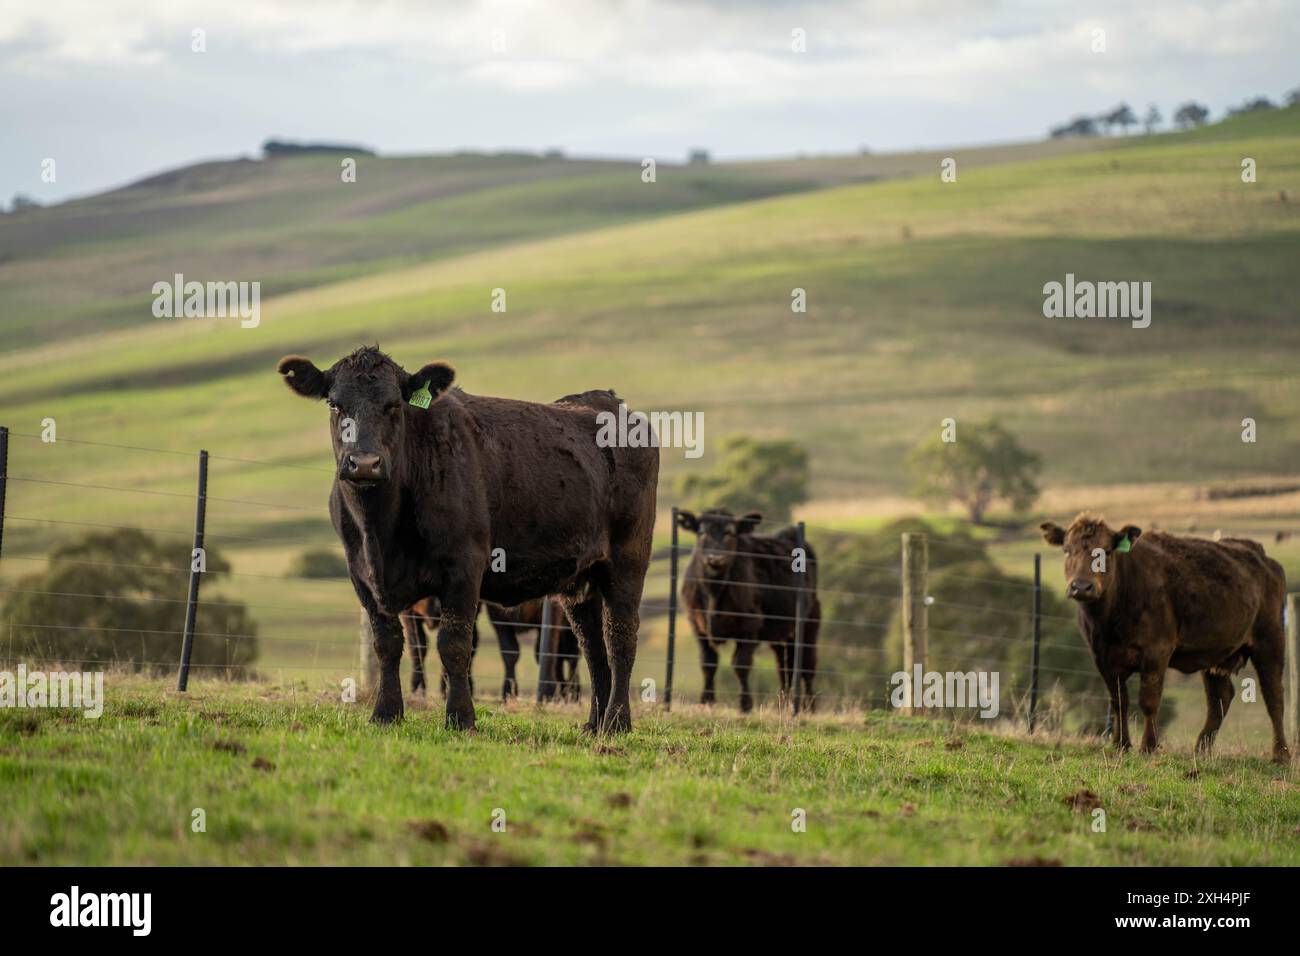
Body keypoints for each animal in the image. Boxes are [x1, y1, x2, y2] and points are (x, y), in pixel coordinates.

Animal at [277, 346, 658, 733]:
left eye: (394, 404)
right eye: (335, 405)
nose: (365, 463)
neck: (380, 531)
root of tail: (608, 401)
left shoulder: (464, 567)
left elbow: (455, 644)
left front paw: (460, 717)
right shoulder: (362, 576)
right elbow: (388, 643)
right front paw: (386, 713)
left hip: (627, 560)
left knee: (620, 638)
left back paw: (617, 721)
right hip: (580, 581)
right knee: (591, 645)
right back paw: (594, 724)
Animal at [676, 508, 820, 712]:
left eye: (730, 533)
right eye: (701, 532)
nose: (715, 558)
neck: (713, 593)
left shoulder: (750, 624)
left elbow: (741, 664)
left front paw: (745, 704)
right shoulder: (697, 625)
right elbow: (708, 663)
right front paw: (707, 701)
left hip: (809, 621)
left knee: (807, 665)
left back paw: (809, 707)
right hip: (780, 630)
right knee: (784, 664)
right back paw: (785, 703)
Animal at [1040, 513, 1290, 763]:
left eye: (1106, 551)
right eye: (1067, 550)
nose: (1081, 586)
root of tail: (1264, 557)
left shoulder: (1156, 653)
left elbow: (1148, 701)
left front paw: (1148, 746)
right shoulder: (1103, 659)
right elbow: (1119, 701)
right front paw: (1121, 744)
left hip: (1270, 641)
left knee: (1274, 697)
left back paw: (1281, 754)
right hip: (1214, 656)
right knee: (1220, 698)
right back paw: (1201, 749)